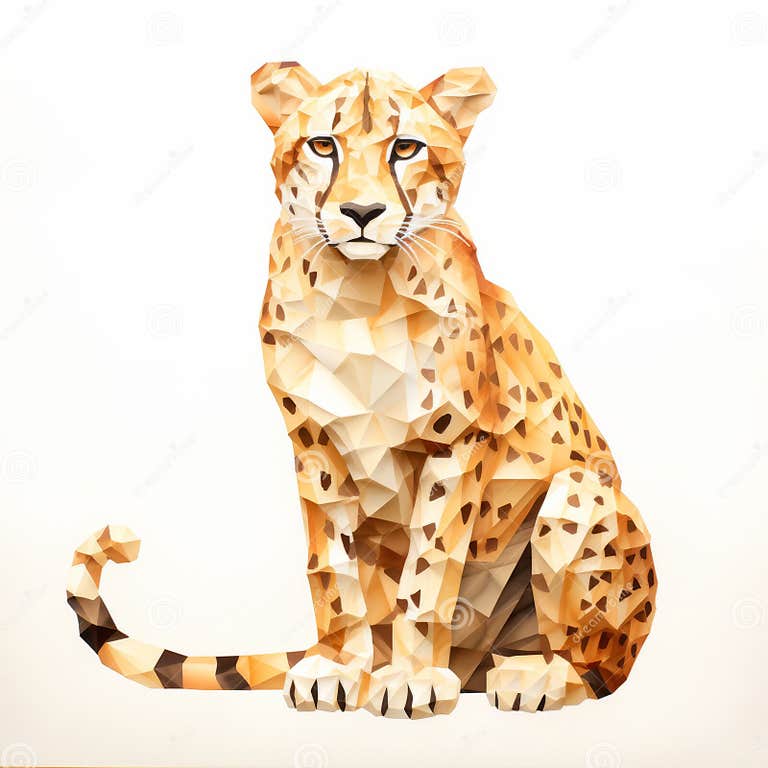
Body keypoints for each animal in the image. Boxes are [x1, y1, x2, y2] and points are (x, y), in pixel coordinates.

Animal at [67, 63, 657, 719]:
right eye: (324, 145)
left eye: (406, 148)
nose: (363, 210)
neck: (358, 297)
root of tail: (473, 665)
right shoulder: (315, 444)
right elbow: (333, 568)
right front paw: (335, 669)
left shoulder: (457, 444)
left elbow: (429, 568)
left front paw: (414, 678)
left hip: (581, 493)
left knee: (605, 665)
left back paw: (539, 675)